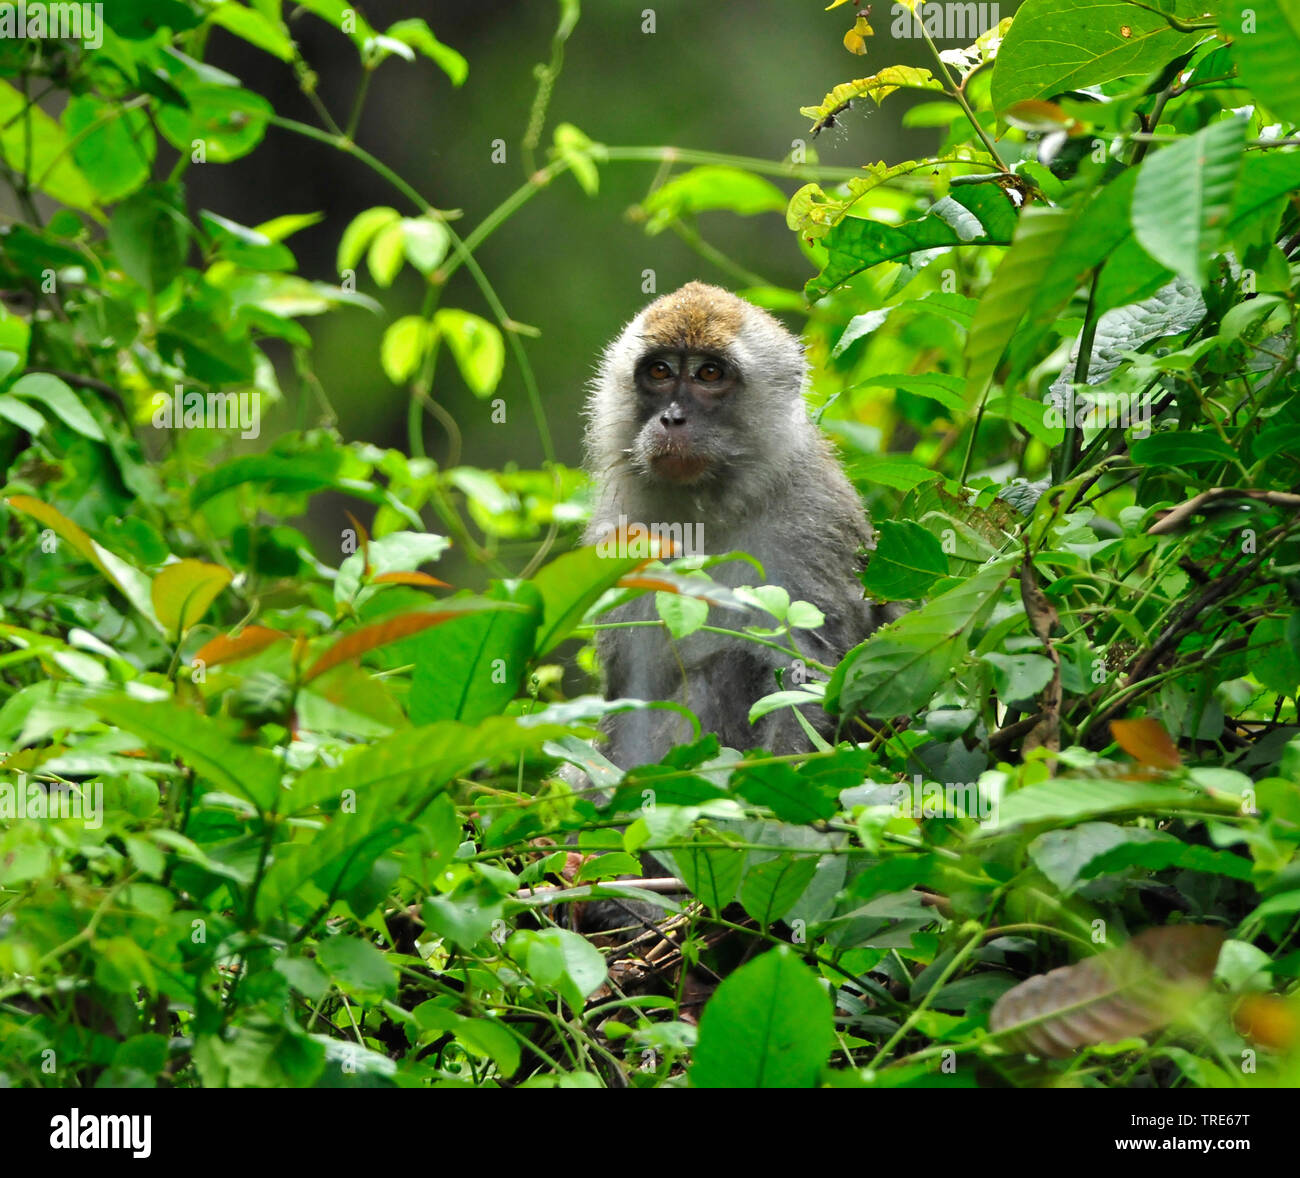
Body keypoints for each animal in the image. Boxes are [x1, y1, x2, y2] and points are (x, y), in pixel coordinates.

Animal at [573, 282, 896, 933]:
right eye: (660, 372)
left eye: (710, 374)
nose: (673, 418)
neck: (710, 507)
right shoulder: (622, 540)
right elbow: (633, 695)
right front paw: (616, 888)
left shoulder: (812, 525)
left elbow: (804, 674)